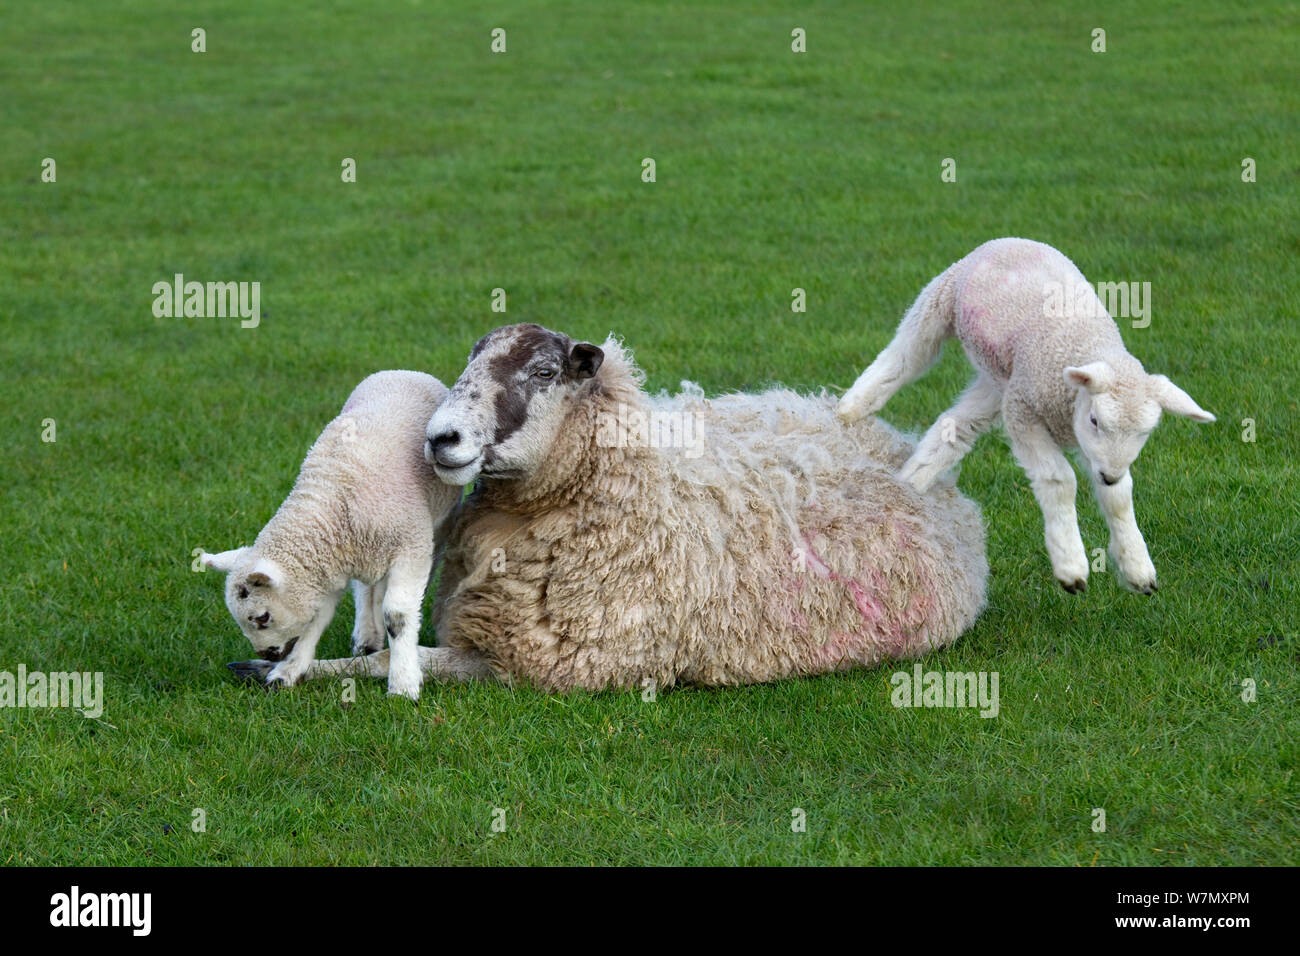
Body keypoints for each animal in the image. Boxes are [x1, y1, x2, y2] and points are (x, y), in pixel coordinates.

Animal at [202, 370, 462, 699]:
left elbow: (398, 615)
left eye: (262, 618)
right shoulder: (328, 567)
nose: (267, 654)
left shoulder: (409, 547)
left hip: (438, 520)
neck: (329, 504)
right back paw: (366, 634)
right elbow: (316, 619)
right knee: (366, 588)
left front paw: (403, 682)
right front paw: (288, 671)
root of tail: (403, 371)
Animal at [836, 237, 1215, 594]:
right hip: (940, 301)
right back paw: (848, 412)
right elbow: (1060, 480)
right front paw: (1071, 566)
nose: (1109, 475)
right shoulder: (1024, 415)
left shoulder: (1083, 442)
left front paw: (1137, 568)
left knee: (955, 426)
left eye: (1144, 433)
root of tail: (1013, 240)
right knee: (904, 357)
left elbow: (1119, 498)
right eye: (1095, 420)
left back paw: (910, 482)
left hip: (999, 383)